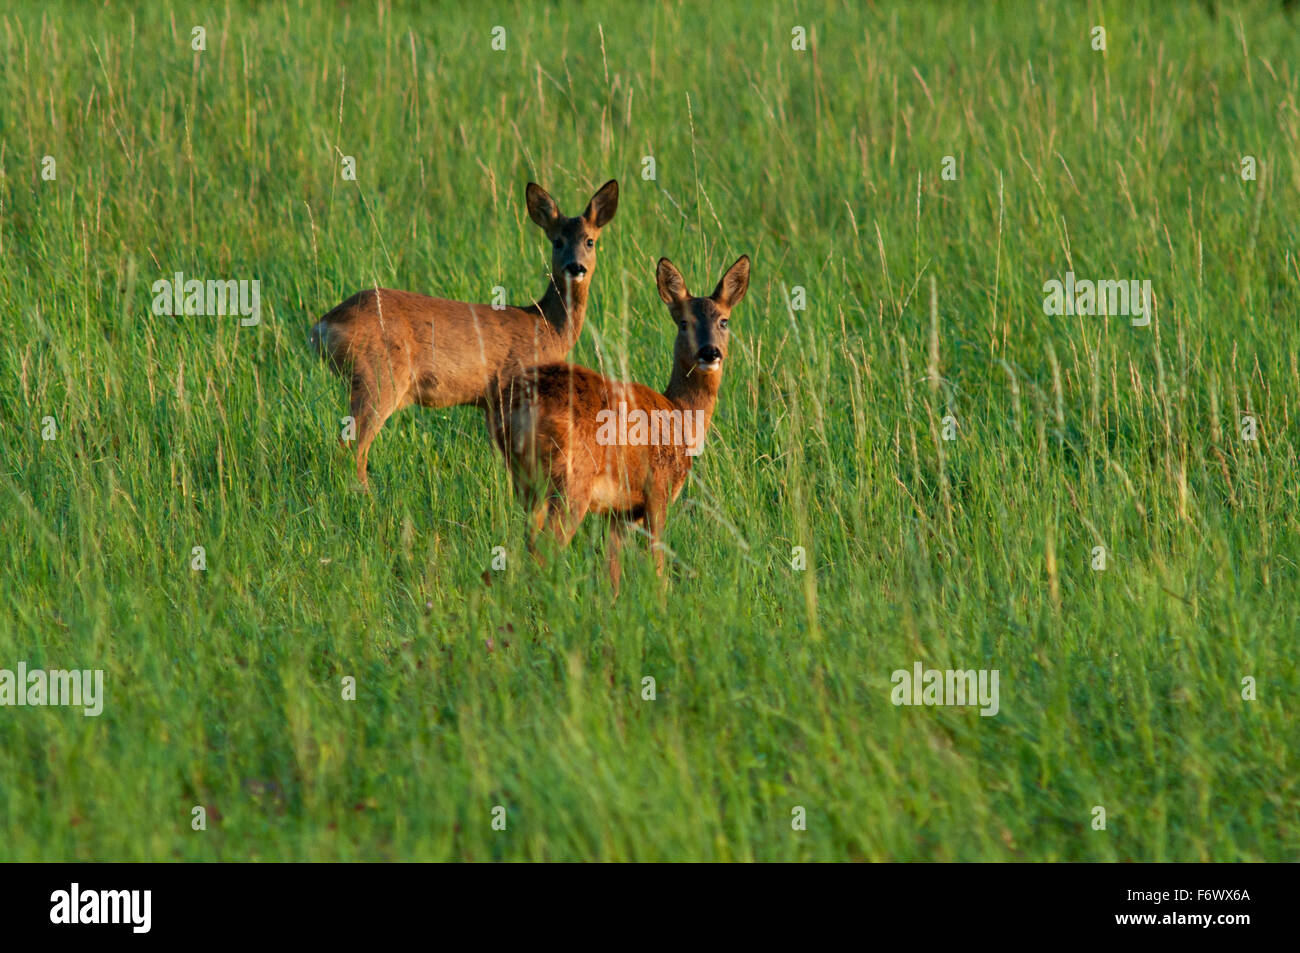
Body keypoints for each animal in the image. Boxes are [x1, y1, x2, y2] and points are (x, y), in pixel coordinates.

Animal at [309, 179, 619, 486]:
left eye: (590, 240)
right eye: (557, 241)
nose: (575, 267)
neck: (546, 327)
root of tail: (322, 326)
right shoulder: (508, 388)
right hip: (378, 377)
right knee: (353, 449)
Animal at [488, 255, 750, 592]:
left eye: (724, 321)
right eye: (684, 323)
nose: (709, 352)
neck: (681, 418)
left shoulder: (619, 512)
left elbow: (612, 570)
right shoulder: (658, 490)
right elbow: (657, 565)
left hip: (525, 479)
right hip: (571, 479)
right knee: (546, 549)